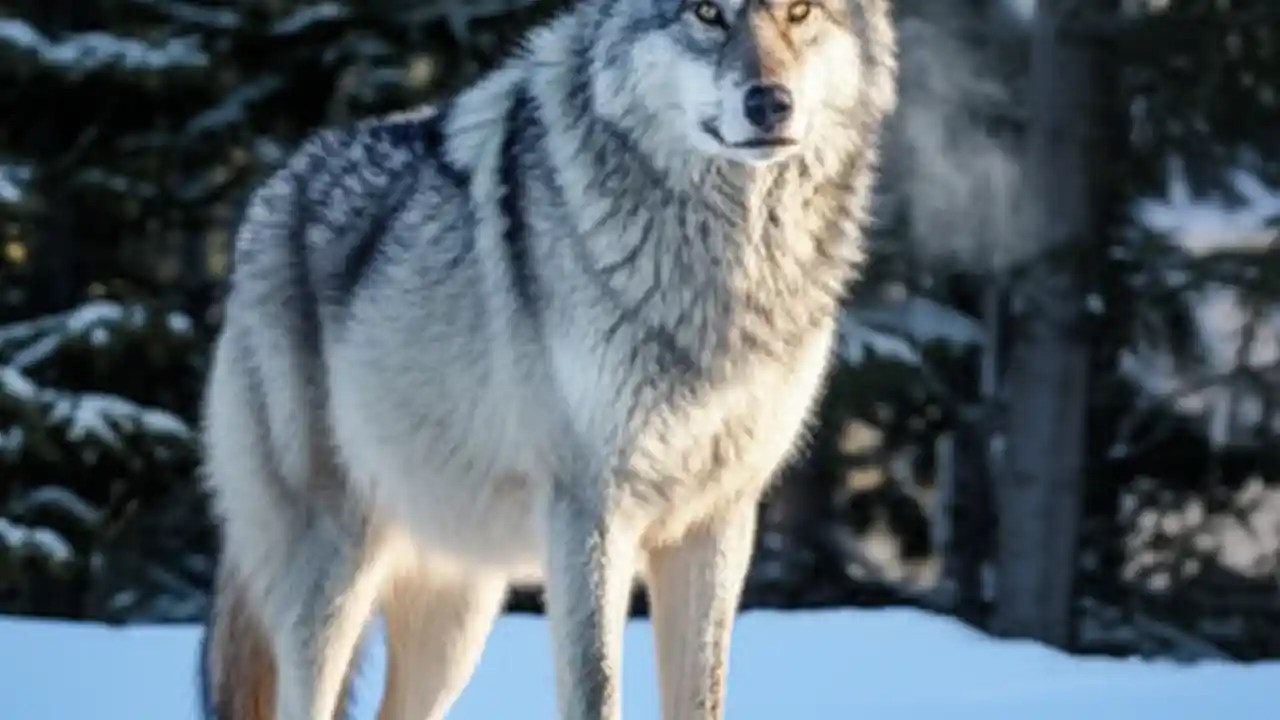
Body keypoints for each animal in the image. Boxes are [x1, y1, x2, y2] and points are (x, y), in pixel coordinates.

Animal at [201, 0, 897, 718]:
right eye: (707, 14)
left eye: (799, 12)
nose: (770, 103)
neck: (724, 272)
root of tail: (273, 194)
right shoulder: (590, 509)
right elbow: (596, 687)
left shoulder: (717, 519)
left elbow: (702, 695)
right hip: (337, 575)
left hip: (458, 616)